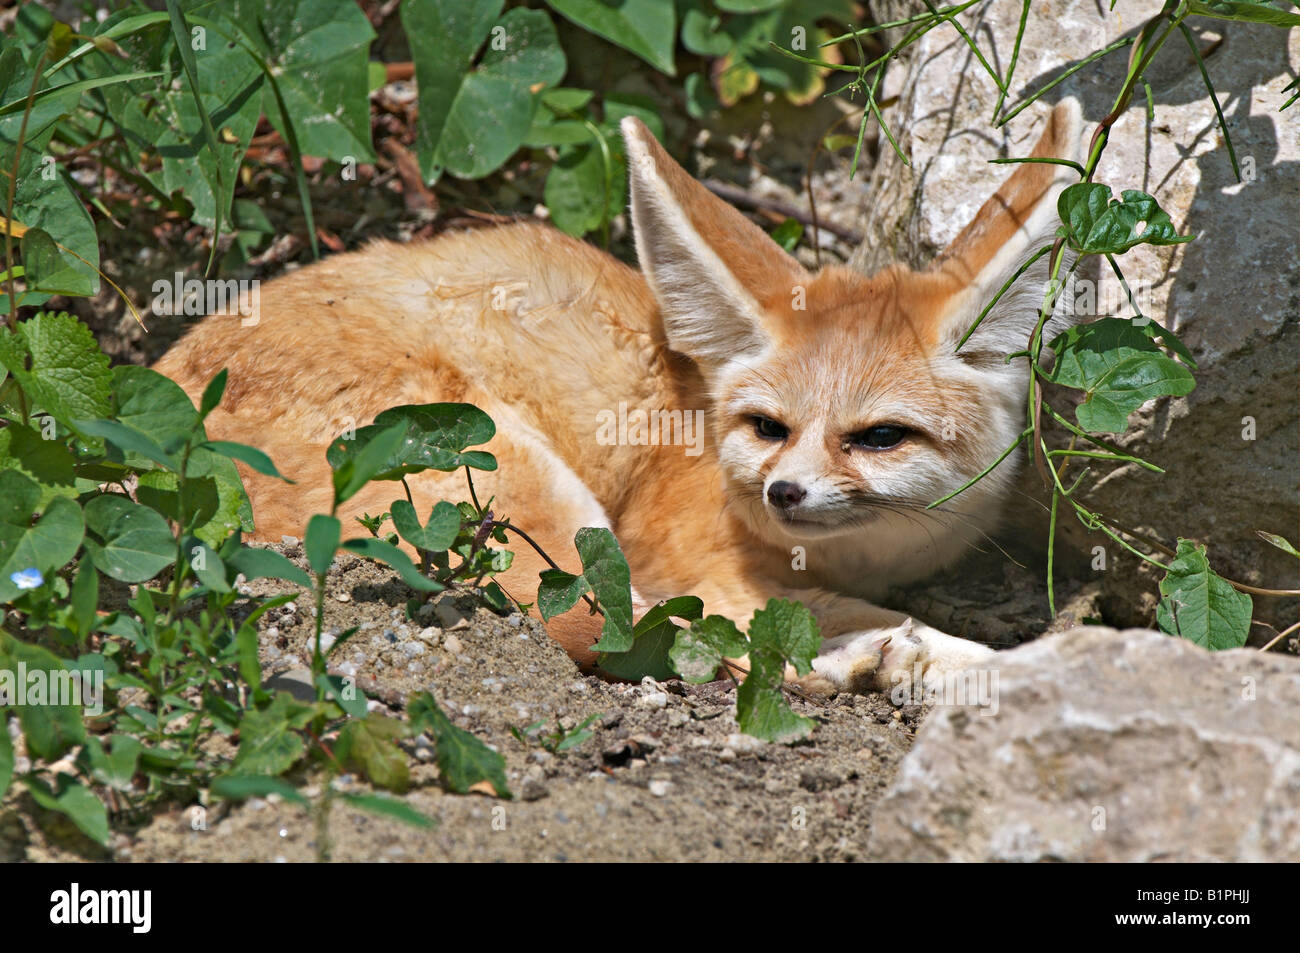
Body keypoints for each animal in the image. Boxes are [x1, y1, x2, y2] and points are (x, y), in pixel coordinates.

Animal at [154, 98, 1084, 695]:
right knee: (611, 628)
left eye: (880, 436)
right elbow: (775, 617)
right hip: (525, 483)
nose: (784, 492)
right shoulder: (689, 556)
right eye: (768, 427)